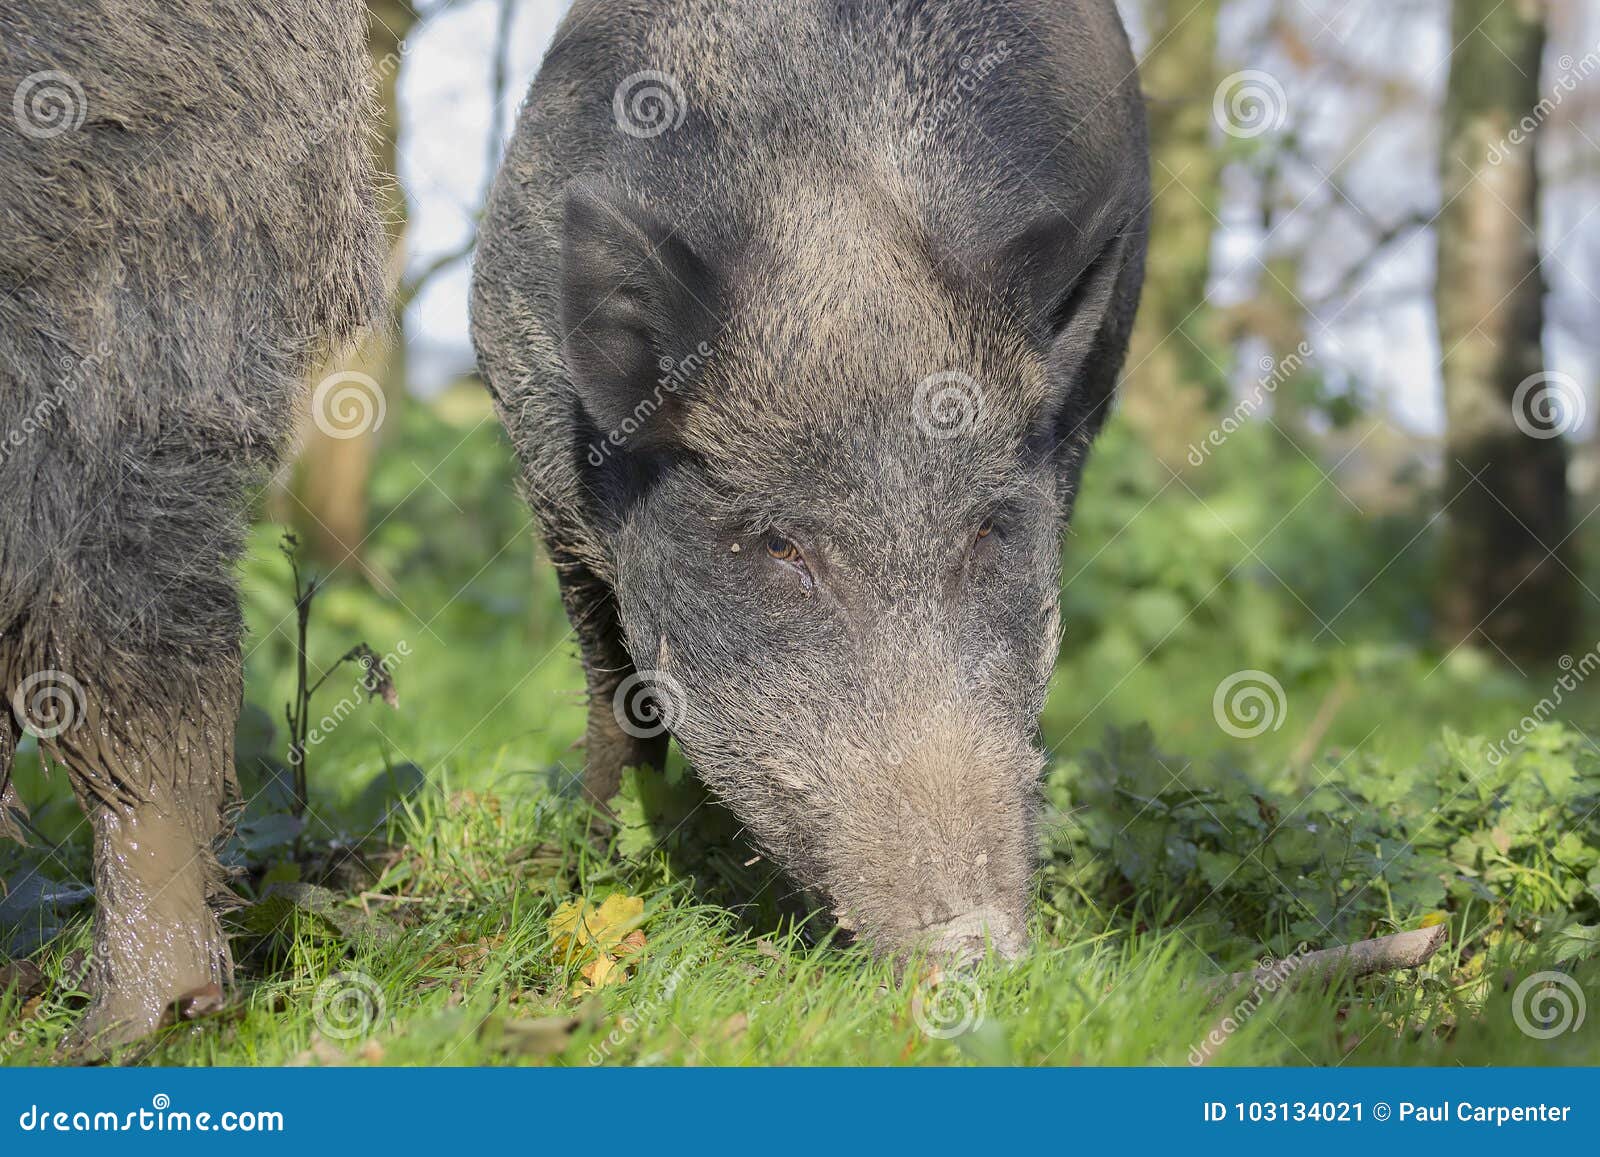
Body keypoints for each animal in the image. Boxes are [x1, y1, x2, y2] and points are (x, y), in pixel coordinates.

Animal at [472, 0, 1148, 963]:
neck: (827, 198)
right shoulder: (547, 480)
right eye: (781, 545)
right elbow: (614, 702)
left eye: (986, 530)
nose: (974, 943)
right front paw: (593, 875)